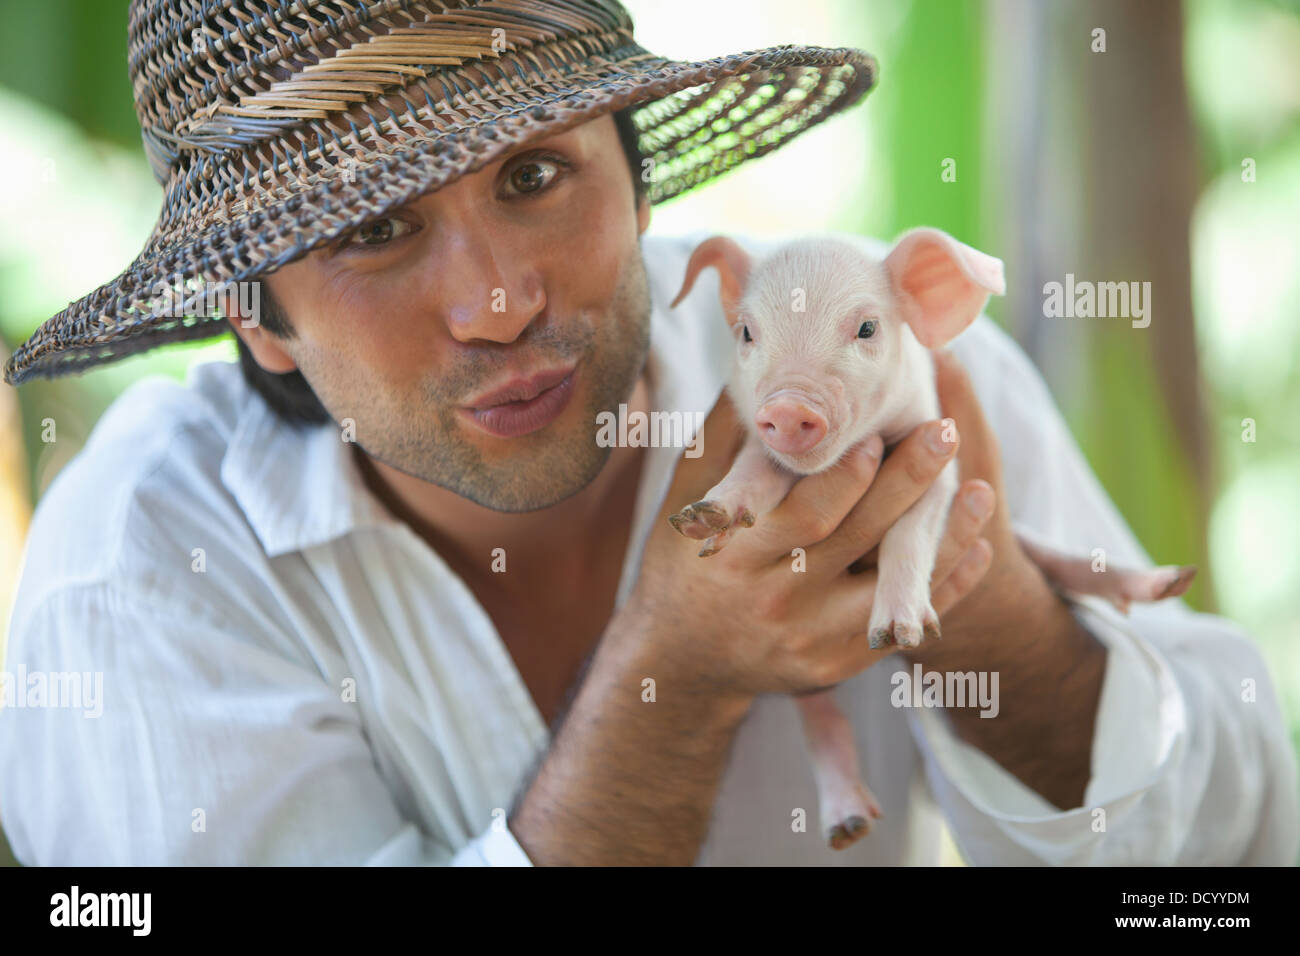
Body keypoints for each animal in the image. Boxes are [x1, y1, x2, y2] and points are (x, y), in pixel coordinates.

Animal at [666, 229, 1197, 850]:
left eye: (867, 328)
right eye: (747, 333)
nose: (789, 408)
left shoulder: (939, 453)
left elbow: (911, 529)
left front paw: (900, 631)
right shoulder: (762, 448)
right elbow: (754, 470)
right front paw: (702, 521)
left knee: (1052, 561)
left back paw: (1166, 582)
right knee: (821, 718)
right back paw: (848, 827)